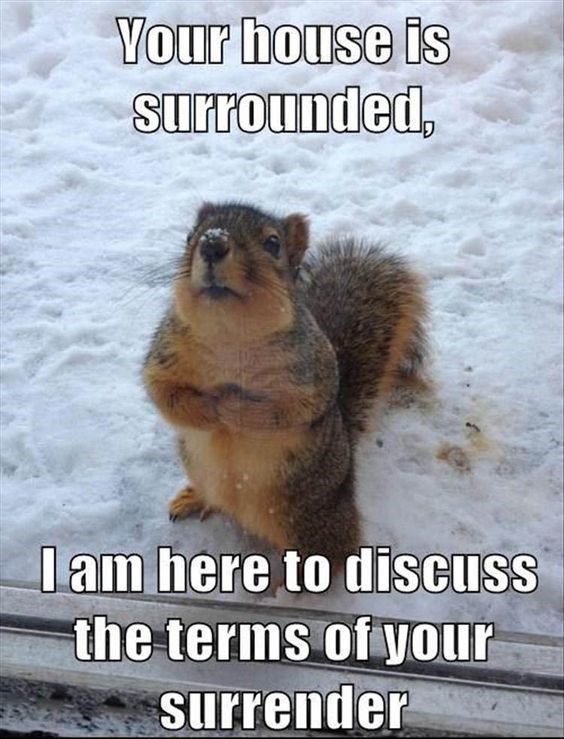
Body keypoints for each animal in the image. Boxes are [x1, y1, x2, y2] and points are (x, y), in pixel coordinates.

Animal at [143, 202, 428, 567]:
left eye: (273, 243)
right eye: (190, 234)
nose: (212, 243)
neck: (229, 335)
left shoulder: (314, 371)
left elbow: (293, 410)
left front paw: (235, 409)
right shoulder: (164, 353)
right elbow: (162, 391)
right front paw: (208, 408)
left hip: (309, 518)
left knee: (335, 553)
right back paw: (196, 499)